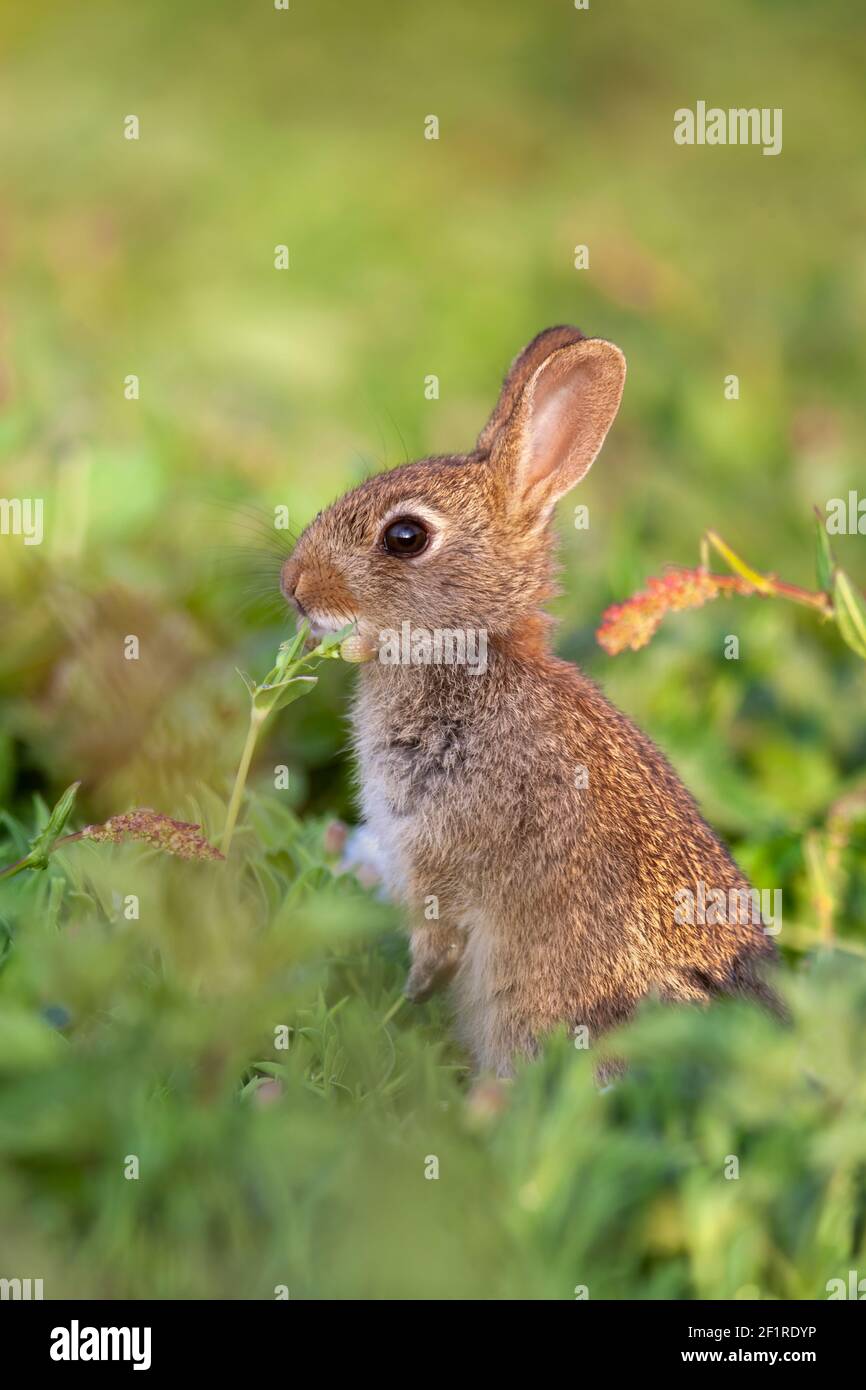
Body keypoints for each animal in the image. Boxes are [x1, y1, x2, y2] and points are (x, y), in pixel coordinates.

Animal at [280, 322, 783, 1073]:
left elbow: (438, 940)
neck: (470, 657)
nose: (294, 586)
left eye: (405, 537)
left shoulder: (442, 859)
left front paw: (411, 994)